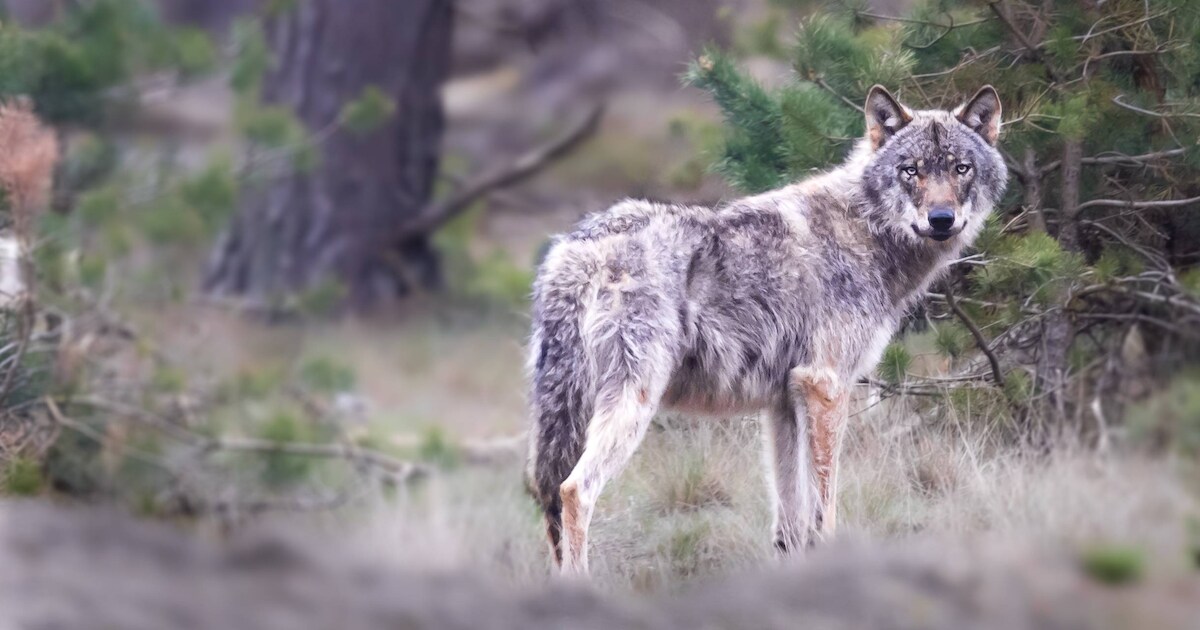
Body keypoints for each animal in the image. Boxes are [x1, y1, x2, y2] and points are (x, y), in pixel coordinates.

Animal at [525, 85, 1007, 574]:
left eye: (960, 168)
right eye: (912, 170)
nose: (942, 219)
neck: (865, 229)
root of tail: (579, 248)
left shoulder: (783, 402)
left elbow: (790, 521)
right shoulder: (826, 387)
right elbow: (824, 508)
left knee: (548, 494)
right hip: (633, 403)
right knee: (573, 490)